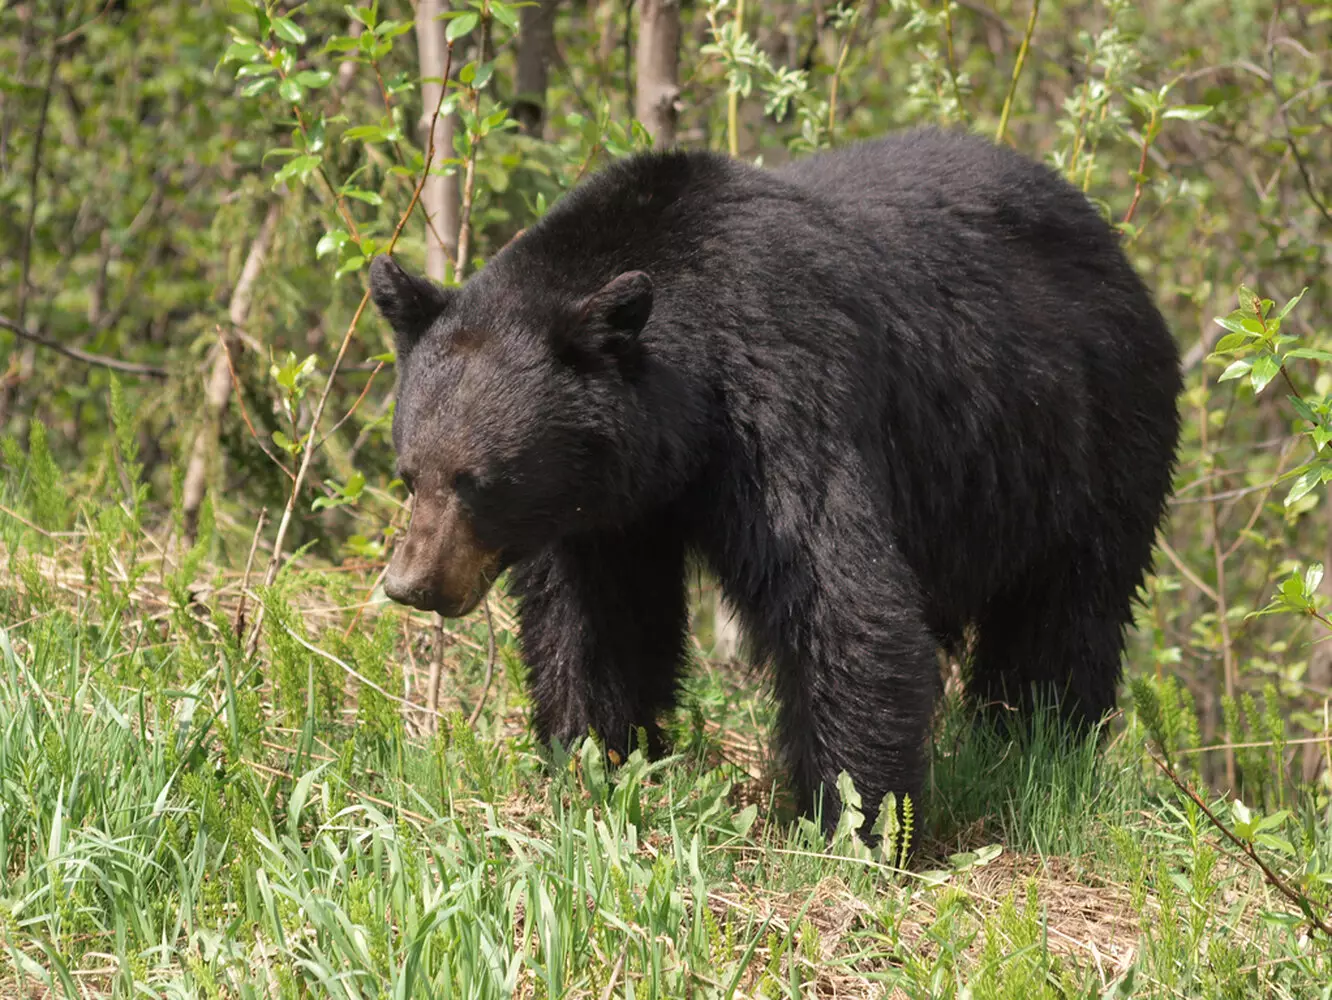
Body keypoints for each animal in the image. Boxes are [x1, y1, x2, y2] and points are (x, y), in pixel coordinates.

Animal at [370, 129, 1182, 830]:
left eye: (478, 481)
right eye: (410, 473)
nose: (413, 583)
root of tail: (1116, 249)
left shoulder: (784, 392)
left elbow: (839, 597)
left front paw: (854, 821)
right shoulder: (608, 508)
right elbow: (596, 624)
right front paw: (592, 760)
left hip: (1090, 437)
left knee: (1065, 614)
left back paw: (1035, 740)